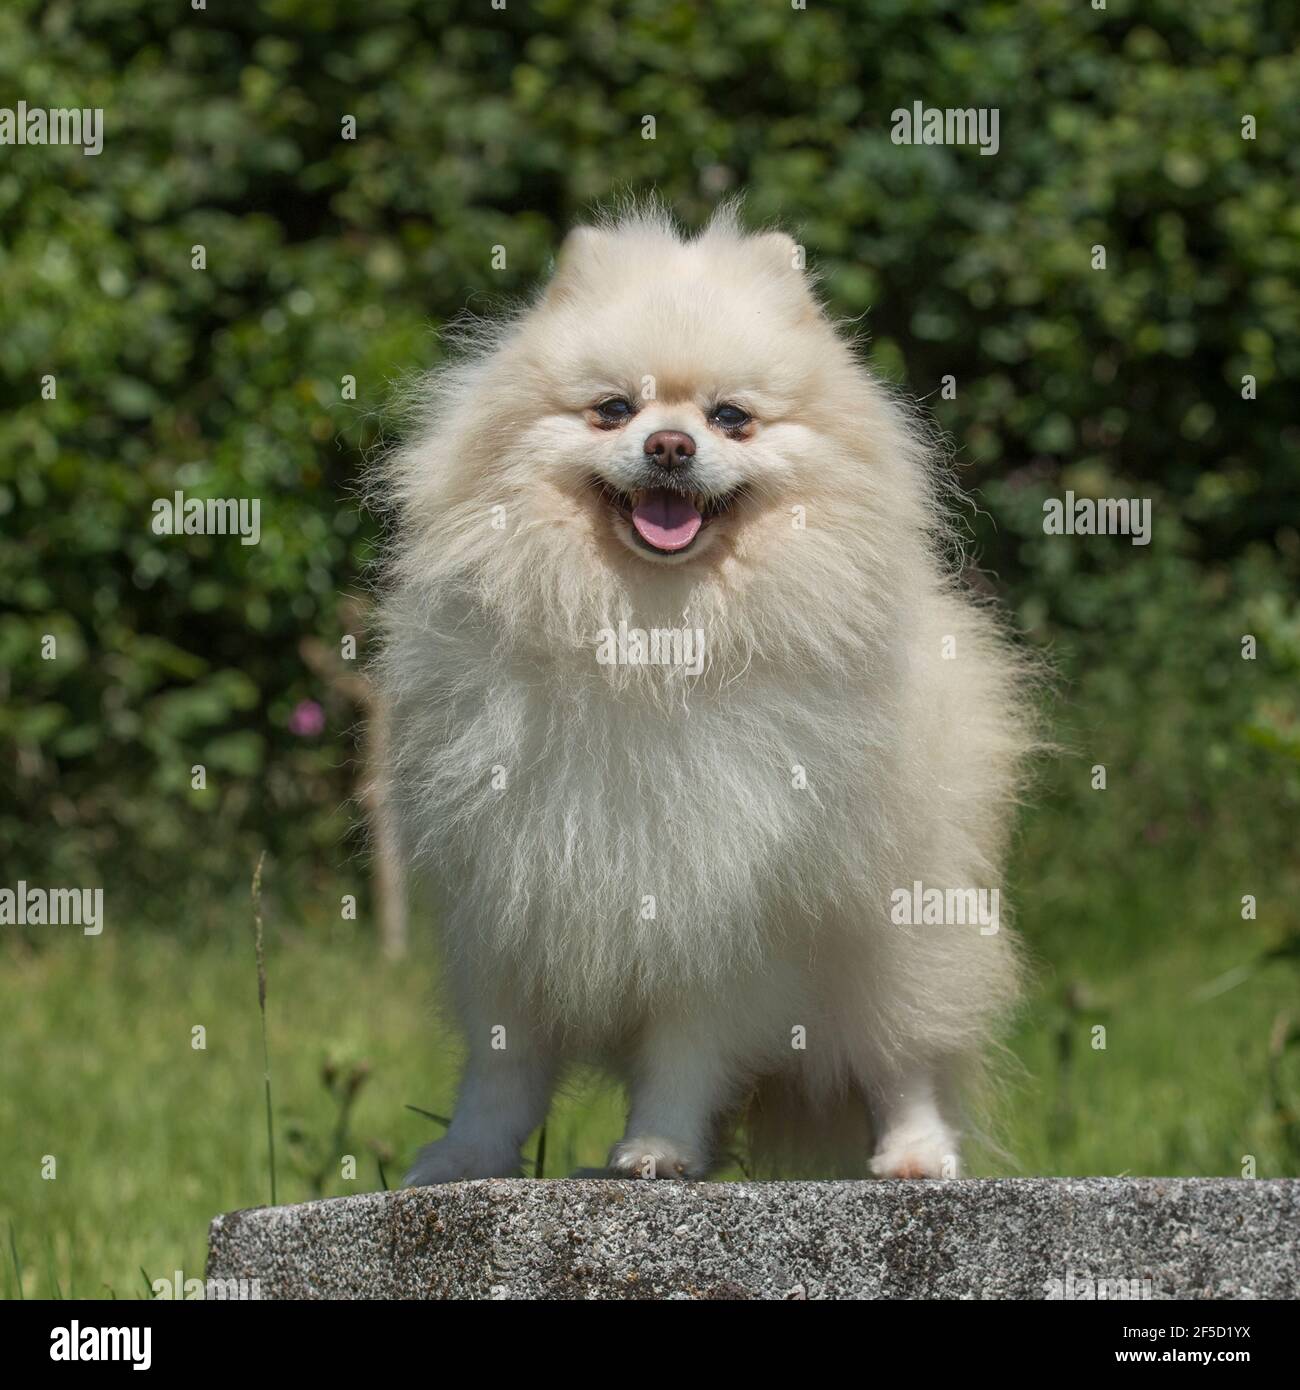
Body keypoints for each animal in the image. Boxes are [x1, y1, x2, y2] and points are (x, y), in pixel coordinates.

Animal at [375, 202, 1034, 1184]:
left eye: (732, 418)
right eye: (614, 408)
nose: (671, 445)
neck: (646, 633)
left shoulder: (723, 908)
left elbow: (685, 1052)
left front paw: (655, 1148)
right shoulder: (509, 894)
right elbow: (501, 1069)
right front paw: (464, 1158)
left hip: (901, 937)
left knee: (905, 1056)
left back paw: (915, 1155)